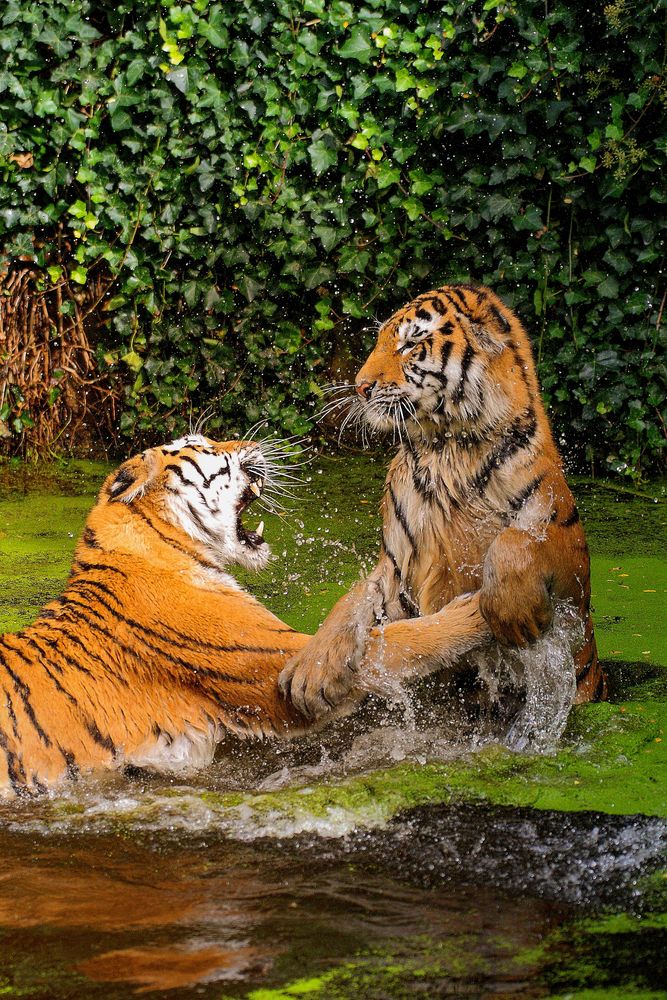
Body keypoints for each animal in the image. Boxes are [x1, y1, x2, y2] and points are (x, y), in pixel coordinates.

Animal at [0, 433, 490, 796]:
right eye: (205, 445)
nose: (257, 440)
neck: (163, 543)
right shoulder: (277, 665)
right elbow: (408, 639)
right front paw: (479, 609)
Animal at [279, 283, 607, 720]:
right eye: (380, 341)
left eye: (409, 344)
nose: (360, 387)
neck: (448, 449)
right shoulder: (396, 570)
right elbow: (355, 598)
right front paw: (313, 669)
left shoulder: (569, 554)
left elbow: (514, 543)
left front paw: (512, 613)